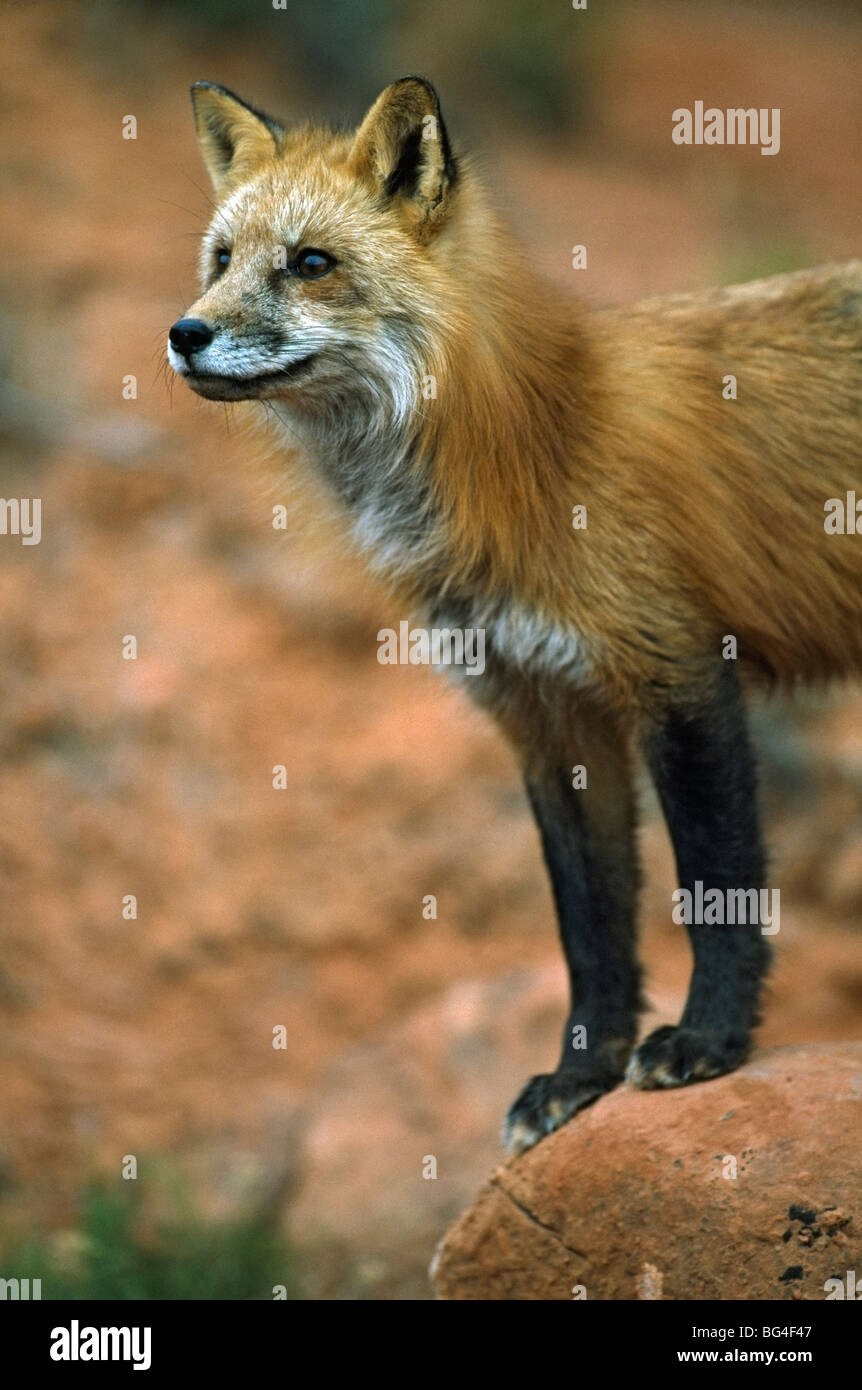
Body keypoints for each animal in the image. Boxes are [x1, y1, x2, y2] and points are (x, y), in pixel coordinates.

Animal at [168, 76, 862, 1155]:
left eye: (311, 263)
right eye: (221, 260)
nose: (185, 333)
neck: (528, 447)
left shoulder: (679, 673)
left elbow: (715, 883)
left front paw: (708, 1042)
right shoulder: (542, 712)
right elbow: (589, 927)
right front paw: (579, 1077)